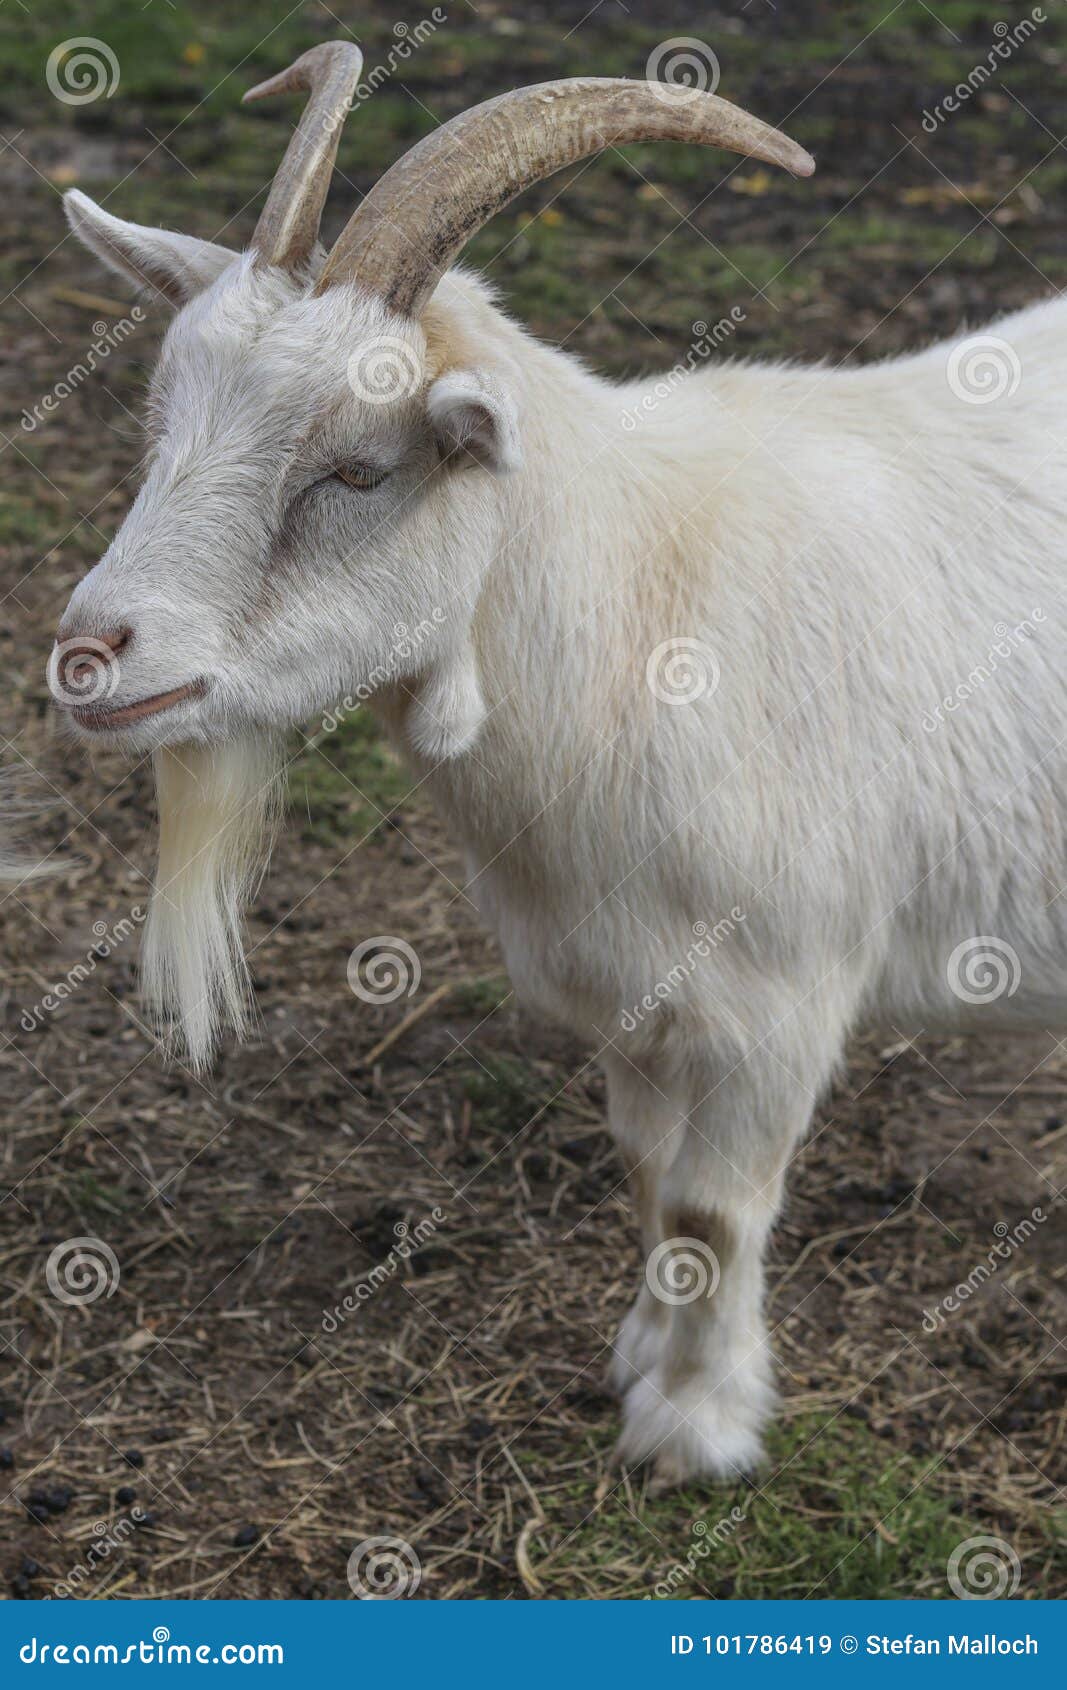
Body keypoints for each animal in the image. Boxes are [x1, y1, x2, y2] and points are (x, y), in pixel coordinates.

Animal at [51, 42, 1063, 1487]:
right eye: (160, 425)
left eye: (355, 470)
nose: (90, 656)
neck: (638, 599)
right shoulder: (627, 988)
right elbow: (645, 1171)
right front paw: (643, 1351)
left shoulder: (782, 997)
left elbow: (709, 1206)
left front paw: (693, 1428)